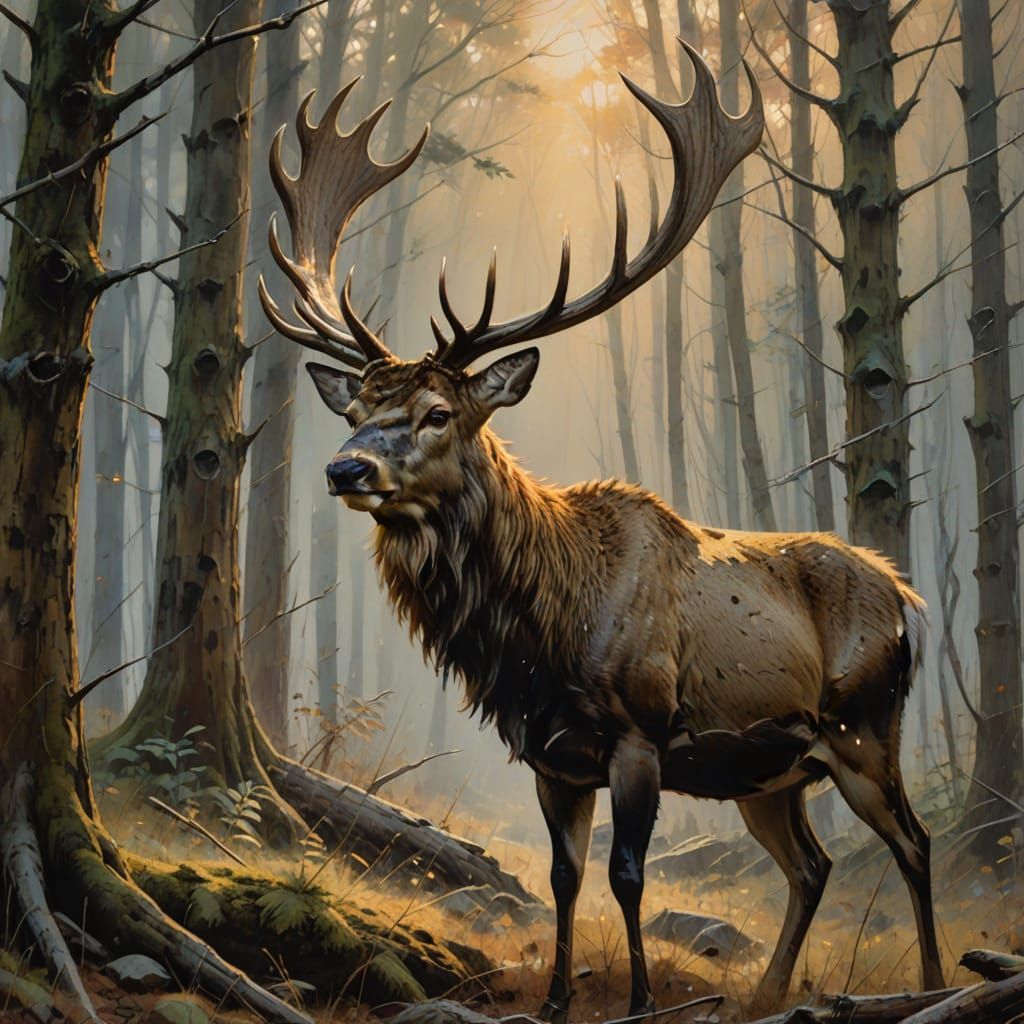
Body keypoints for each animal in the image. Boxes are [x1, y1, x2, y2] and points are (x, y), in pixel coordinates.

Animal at [258, 43, 944, 1020]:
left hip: (862, 727)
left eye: (437, 412)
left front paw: (641, 1000)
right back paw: (769, 991)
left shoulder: (639, 734)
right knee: (810, 867)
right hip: (769, 771)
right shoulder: (548, 755)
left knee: (914, 841)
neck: (540, 634)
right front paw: (552, 1001)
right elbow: (564, 876)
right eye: (354, 408)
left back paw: (928, 980)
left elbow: (626, 875)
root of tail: (908, 598)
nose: (344, 470)